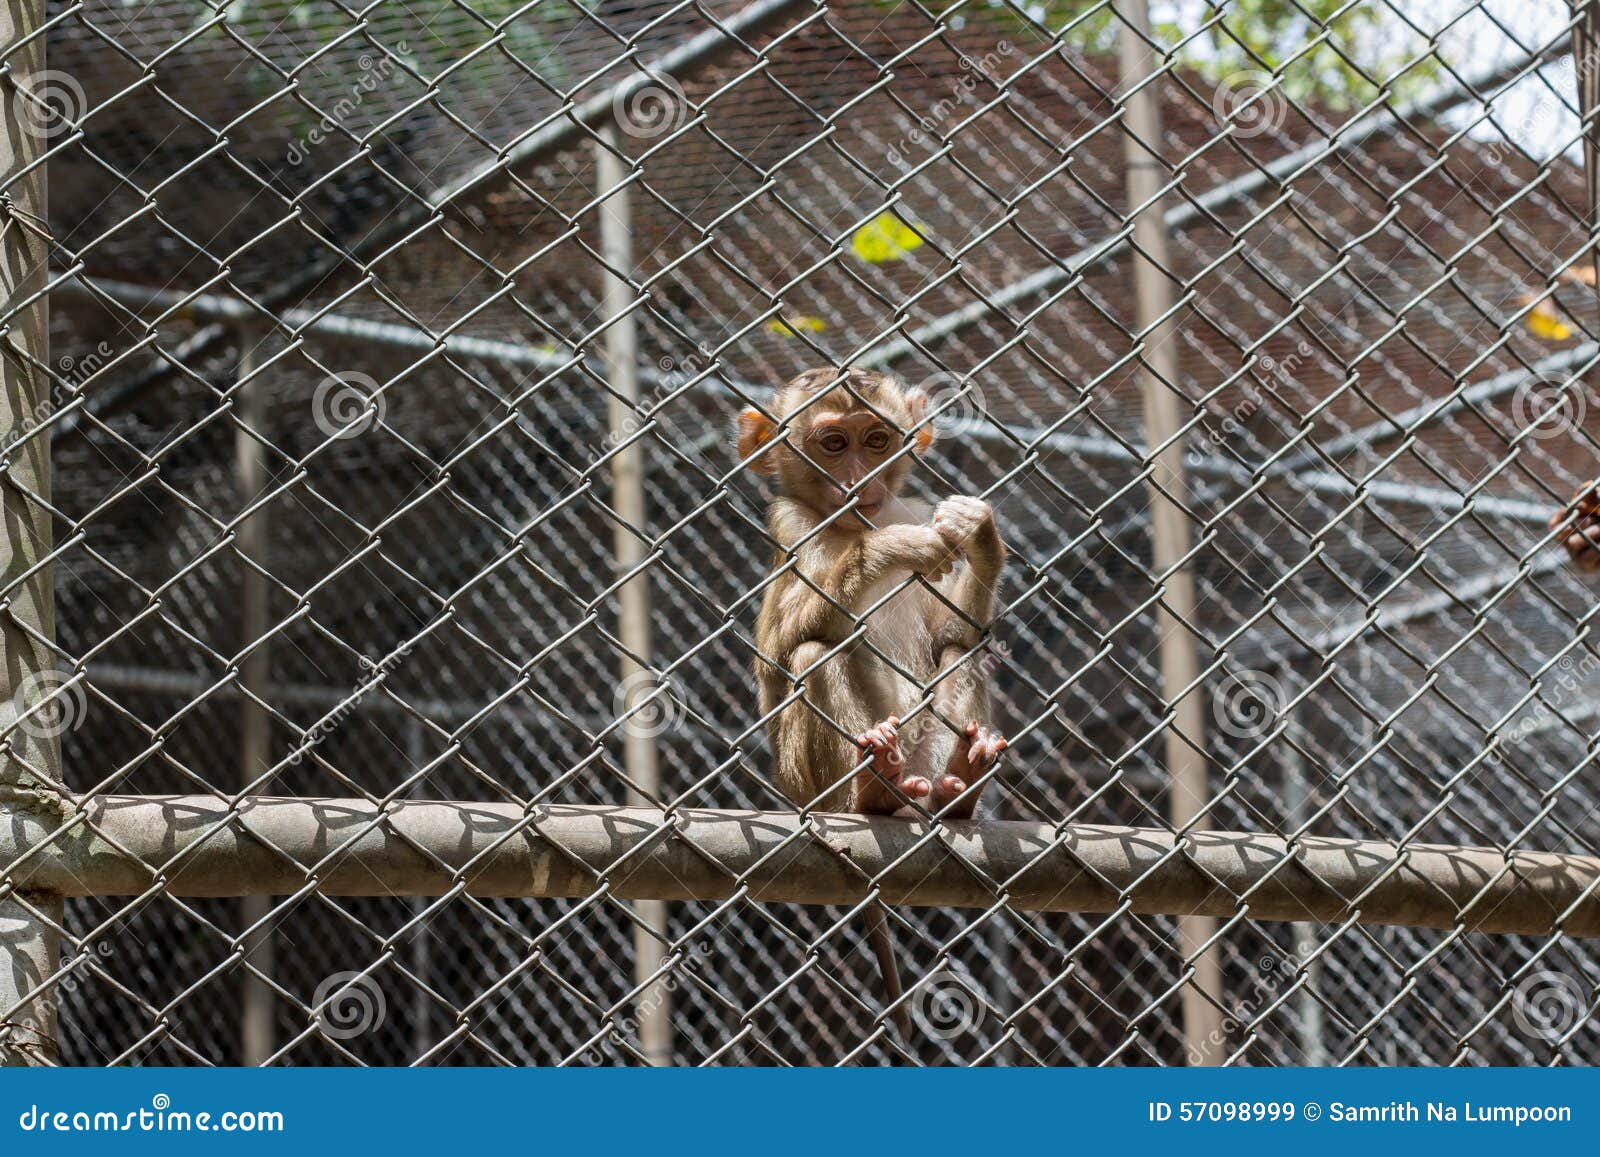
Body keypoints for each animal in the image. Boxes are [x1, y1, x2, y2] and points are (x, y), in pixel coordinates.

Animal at [738, 366, 1008, 1036]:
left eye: (877, 439)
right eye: (833, 444)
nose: (860, 480)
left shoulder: (906, 503)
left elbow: (954, 633)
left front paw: (980, 535)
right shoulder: (790, 525)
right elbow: (778, 655)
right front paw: (889, 549)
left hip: (923, 769)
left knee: (960, 653)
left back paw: (959, 787)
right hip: (808, 785)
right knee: (813, 653)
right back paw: (871, 793)